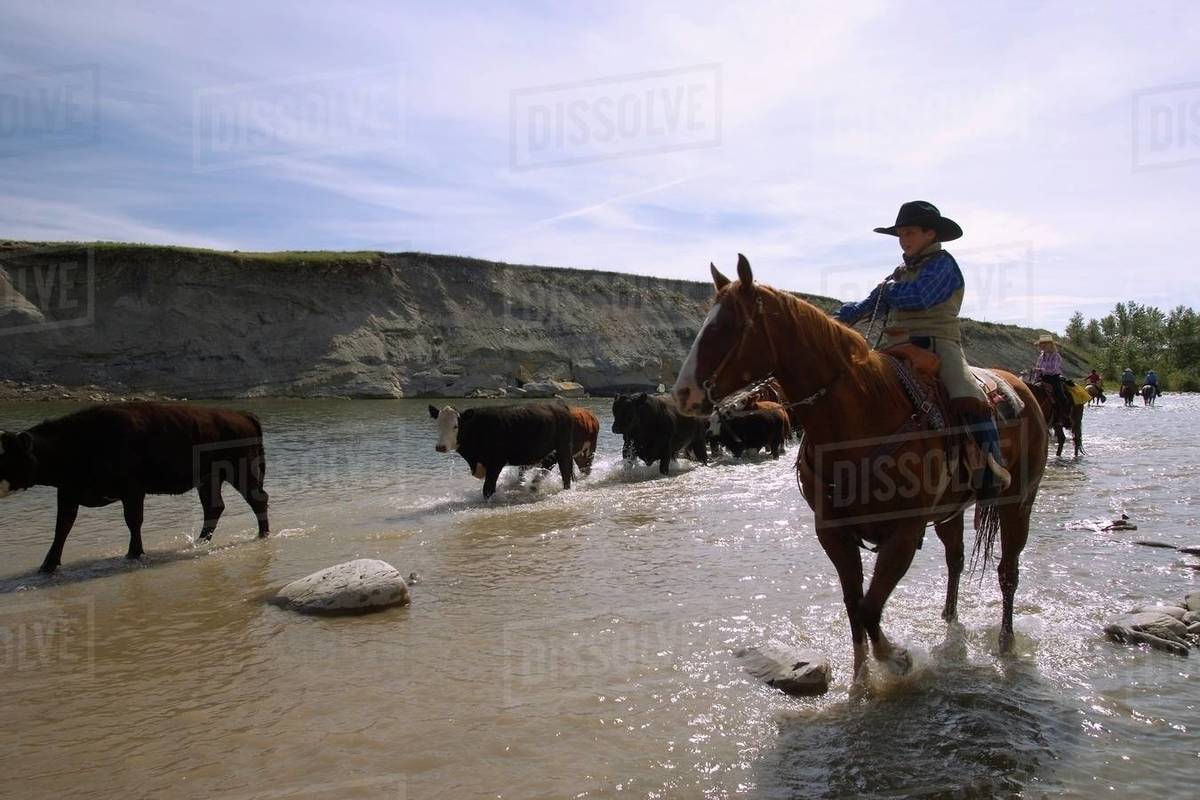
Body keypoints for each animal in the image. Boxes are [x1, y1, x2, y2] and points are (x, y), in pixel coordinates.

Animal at [0, 402, 269, 574]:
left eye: (7, 455)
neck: (75, 441)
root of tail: (240, 413)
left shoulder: (132, 490)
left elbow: (133, 520)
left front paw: (134, 553)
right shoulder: (67, 492)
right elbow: (62, 527)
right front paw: (47, 566)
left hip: (241, 471)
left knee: (258, 499)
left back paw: (263, 535)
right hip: (209, 479)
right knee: (214, 507)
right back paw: (200, 541)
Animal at [429, 402, 574, 497]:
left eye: (455, 426)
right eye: (438, 425)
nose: (440, 447)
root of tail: (560, 406)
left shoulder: (496, 462)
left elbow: (488, 489)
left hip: (563, 446)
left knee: (565, 471)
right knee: (548, 464)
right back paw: (533, 486)